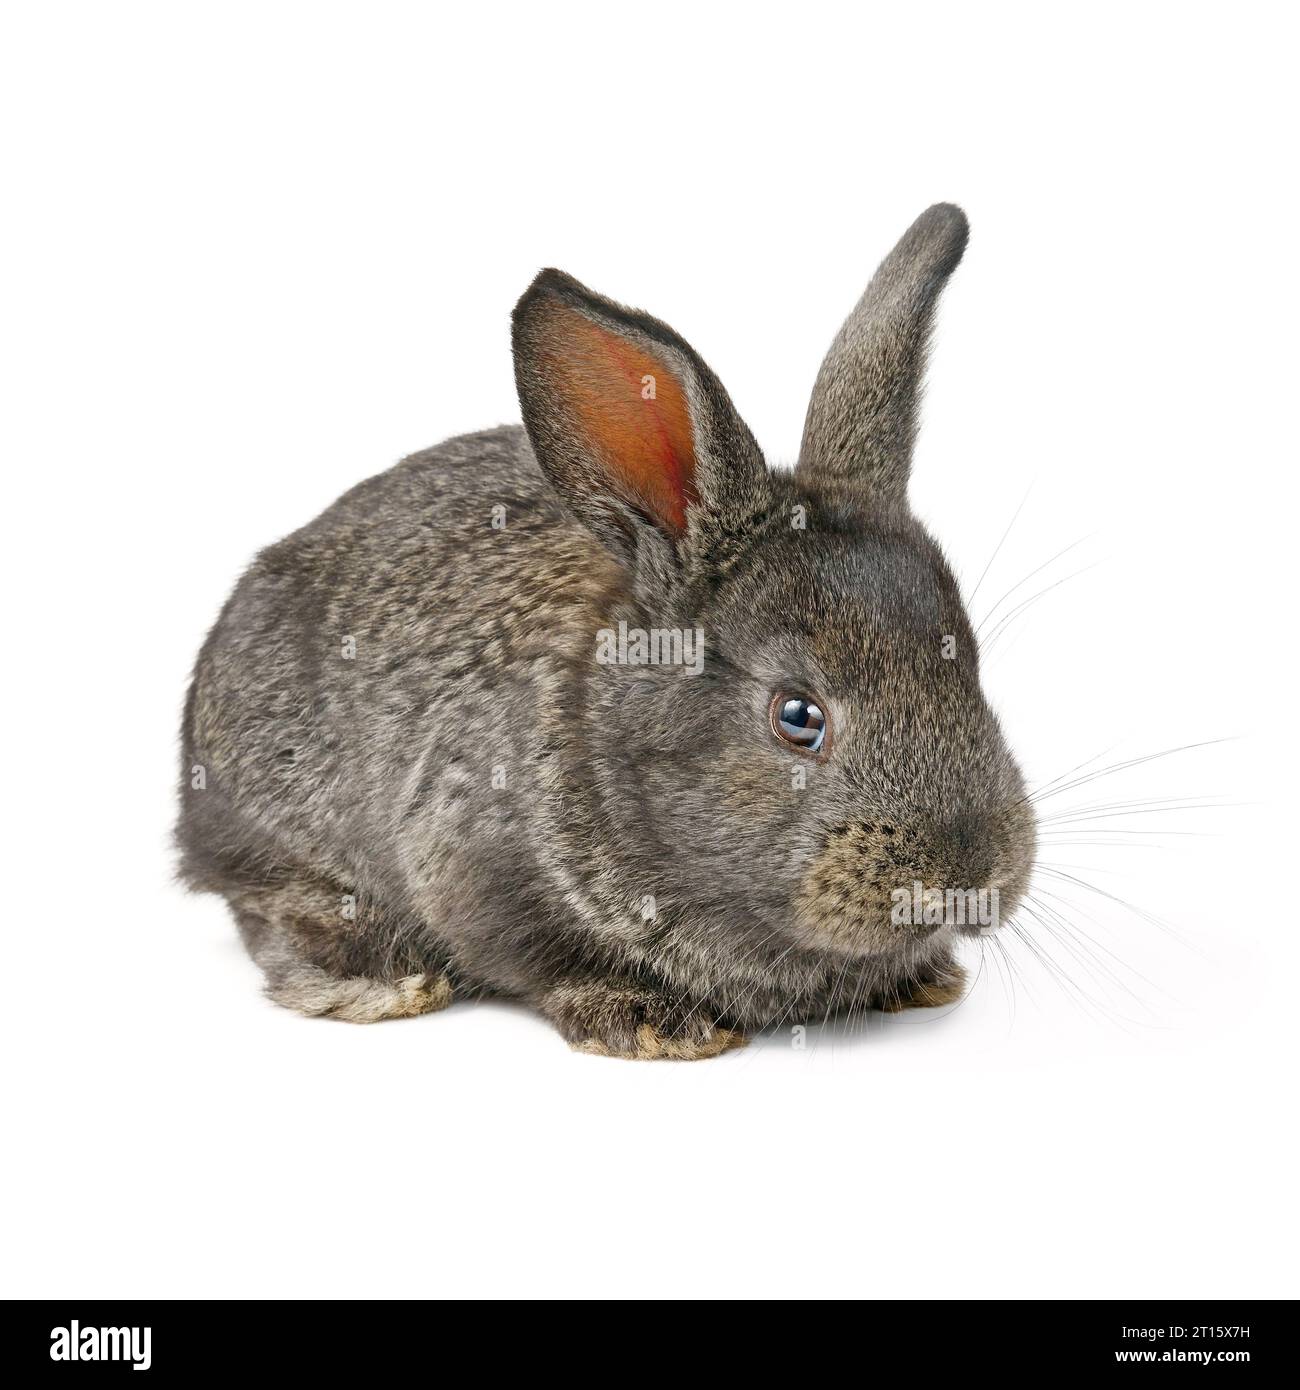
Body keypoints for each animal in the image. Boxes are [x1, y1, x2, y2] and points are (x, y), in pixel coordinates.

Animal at [177, 203, 1036, 1059]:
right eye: (798, 716)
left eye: (971, 669)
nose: (968, 879)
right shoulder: (468, 862)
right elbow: (545, 959)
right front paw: (652, 1021)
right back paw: (380, 979)